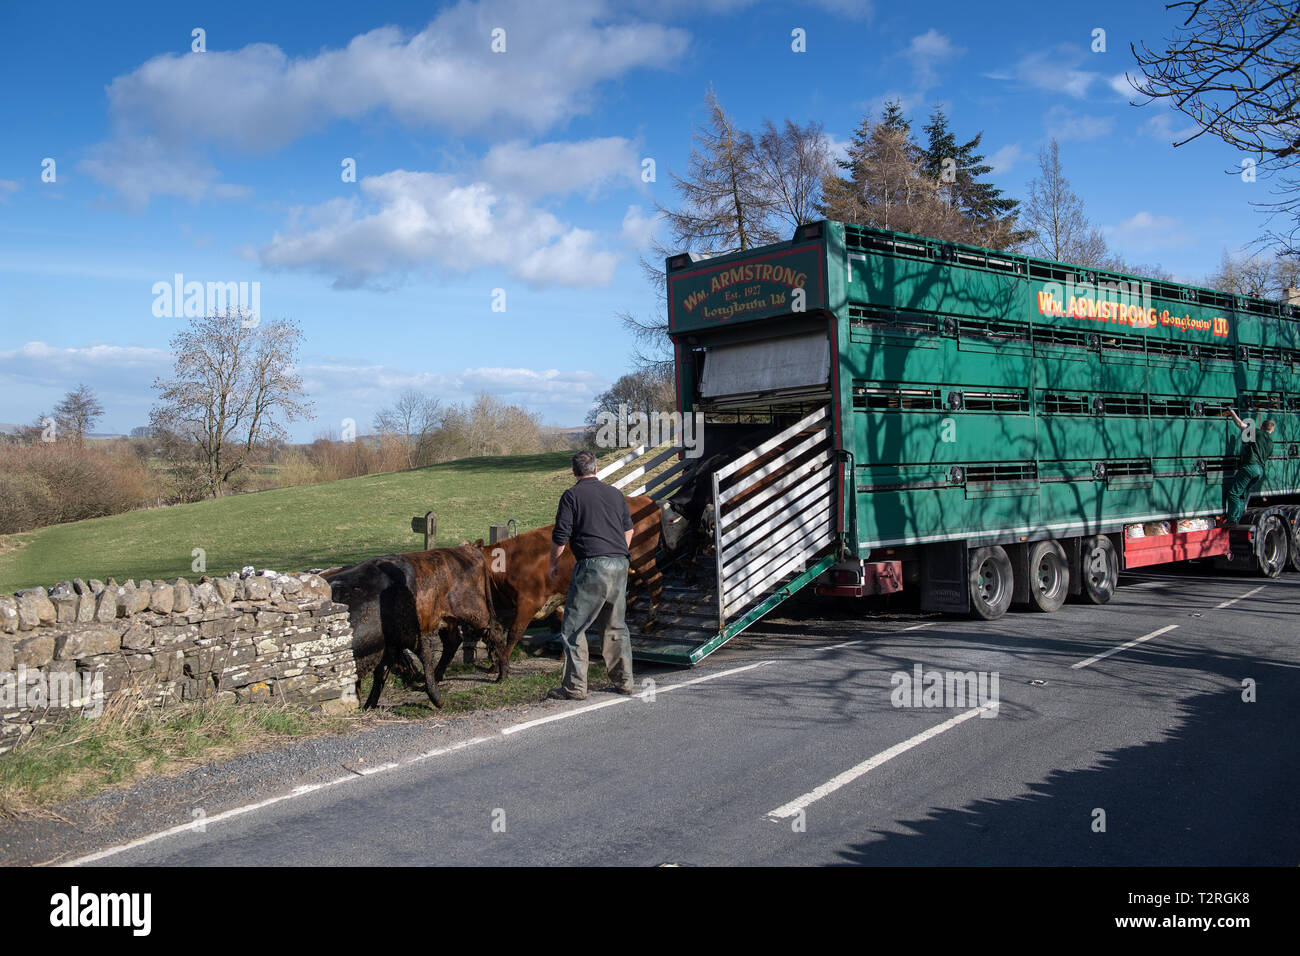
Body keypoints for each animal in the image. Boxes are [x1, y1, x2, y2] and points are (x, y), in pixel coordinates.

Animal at [325, 545, 507, 710]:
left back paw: (503, 673)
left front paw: (436, 698)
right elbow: (381, 672)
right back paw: (439, 675)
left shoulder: (409, 633)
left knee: (495, 631)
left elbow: (423, 655)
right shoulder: (391, 643)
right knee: (453, 642)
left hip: (474, 612)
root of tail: (468, 549)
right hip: (447, 619)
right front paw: (369, 705)